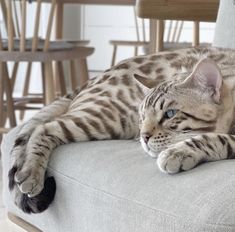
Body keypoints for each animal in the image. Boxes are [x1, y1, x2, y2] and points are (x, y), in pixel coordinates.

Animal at [6, 46, 235, 214]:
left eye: (170, 114)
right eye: (143, 116)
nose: (143, 137)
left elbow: (214, 138)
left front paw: (177, 152)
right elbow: (214, 137)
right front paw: (175, 154)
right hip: (108, 118)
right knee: (45, 128)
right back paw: (31, 173)